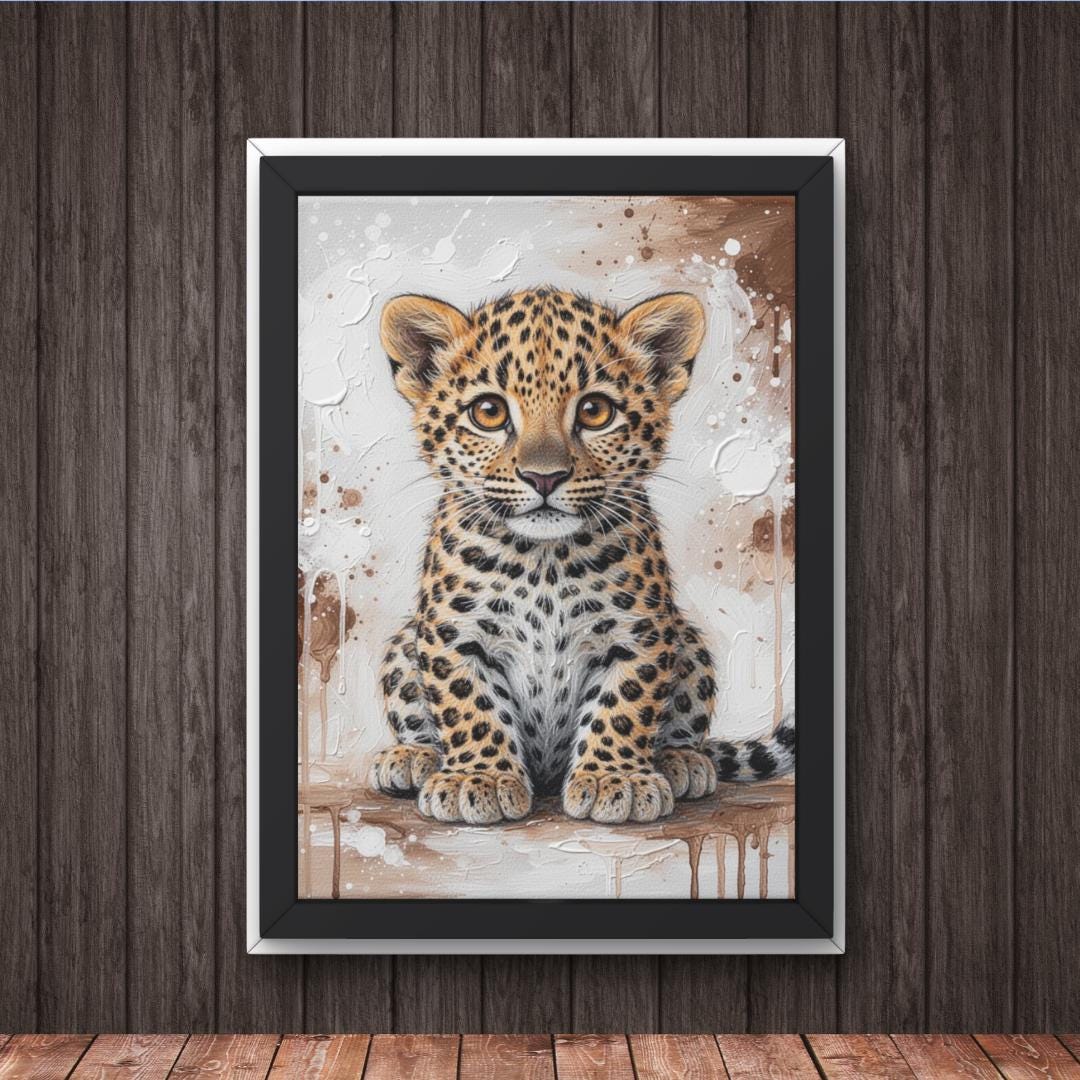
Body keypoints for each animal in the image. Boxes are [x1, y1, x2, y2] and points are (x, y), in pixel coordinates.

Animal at [372, 286, 795, 825]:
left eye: (595, 411)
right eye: (488, 412)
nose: (544, 477)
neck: (542, 559)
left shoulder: (640, 633)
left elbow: (624, 704)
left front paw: (616, 780)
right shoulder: (453, 634)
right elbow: (470, 705)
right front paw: (479, 777)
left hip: (689, 640)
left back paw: (681, 761)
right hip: (403, 643)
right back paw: (412, 758)